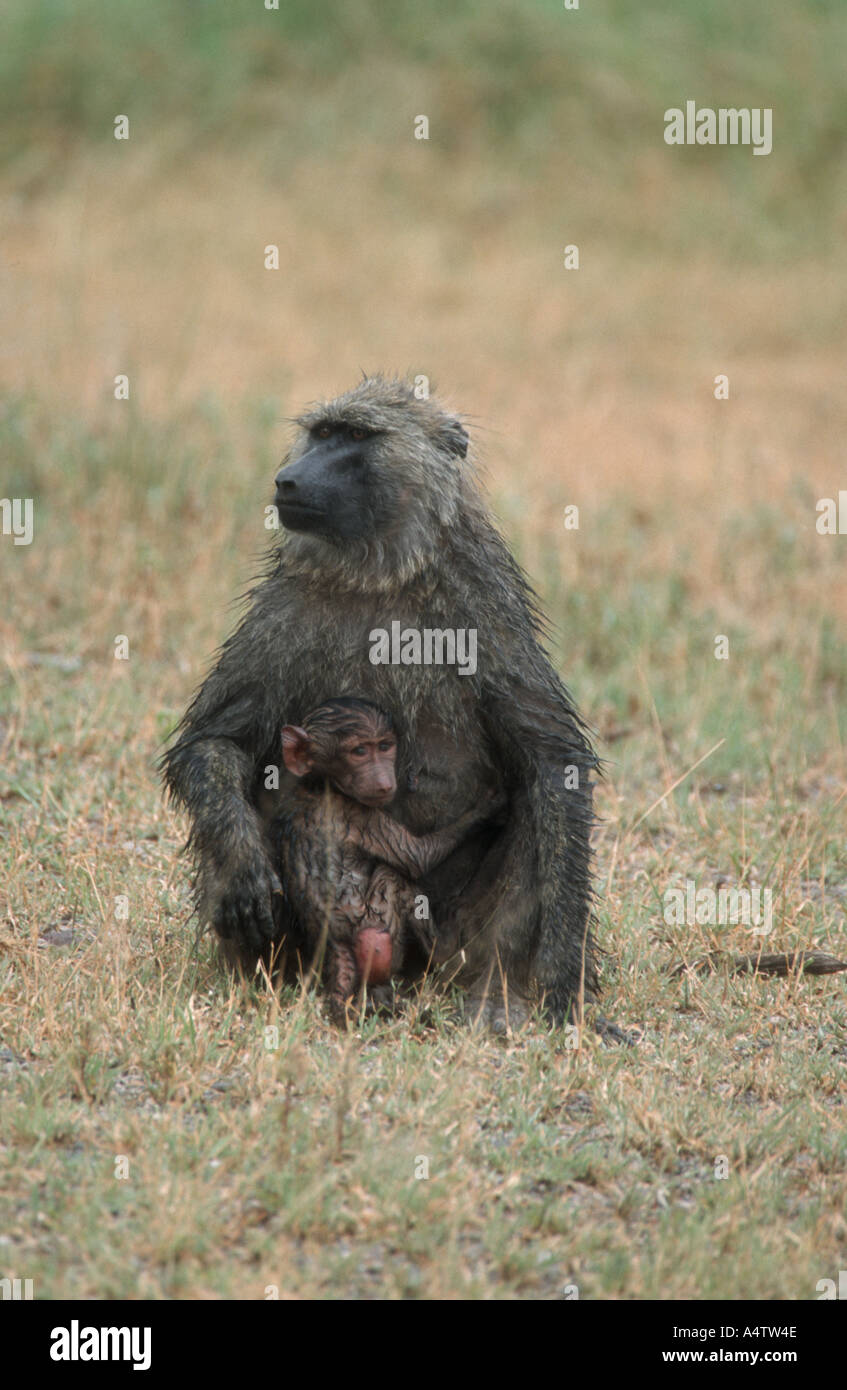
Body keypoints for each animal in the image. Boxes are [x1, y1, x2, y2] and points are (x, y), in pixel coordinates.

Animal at [277, 697, 505, 1022]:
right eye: (359, 751)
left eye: (384, 746)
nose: (385, 779)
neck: (321, 784)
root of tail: (336, 945)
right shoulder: (361, 815)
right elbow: (416, 858)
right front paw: (489, 805)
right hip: (378, 931)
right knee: (394, 879)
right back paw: (446, 947)